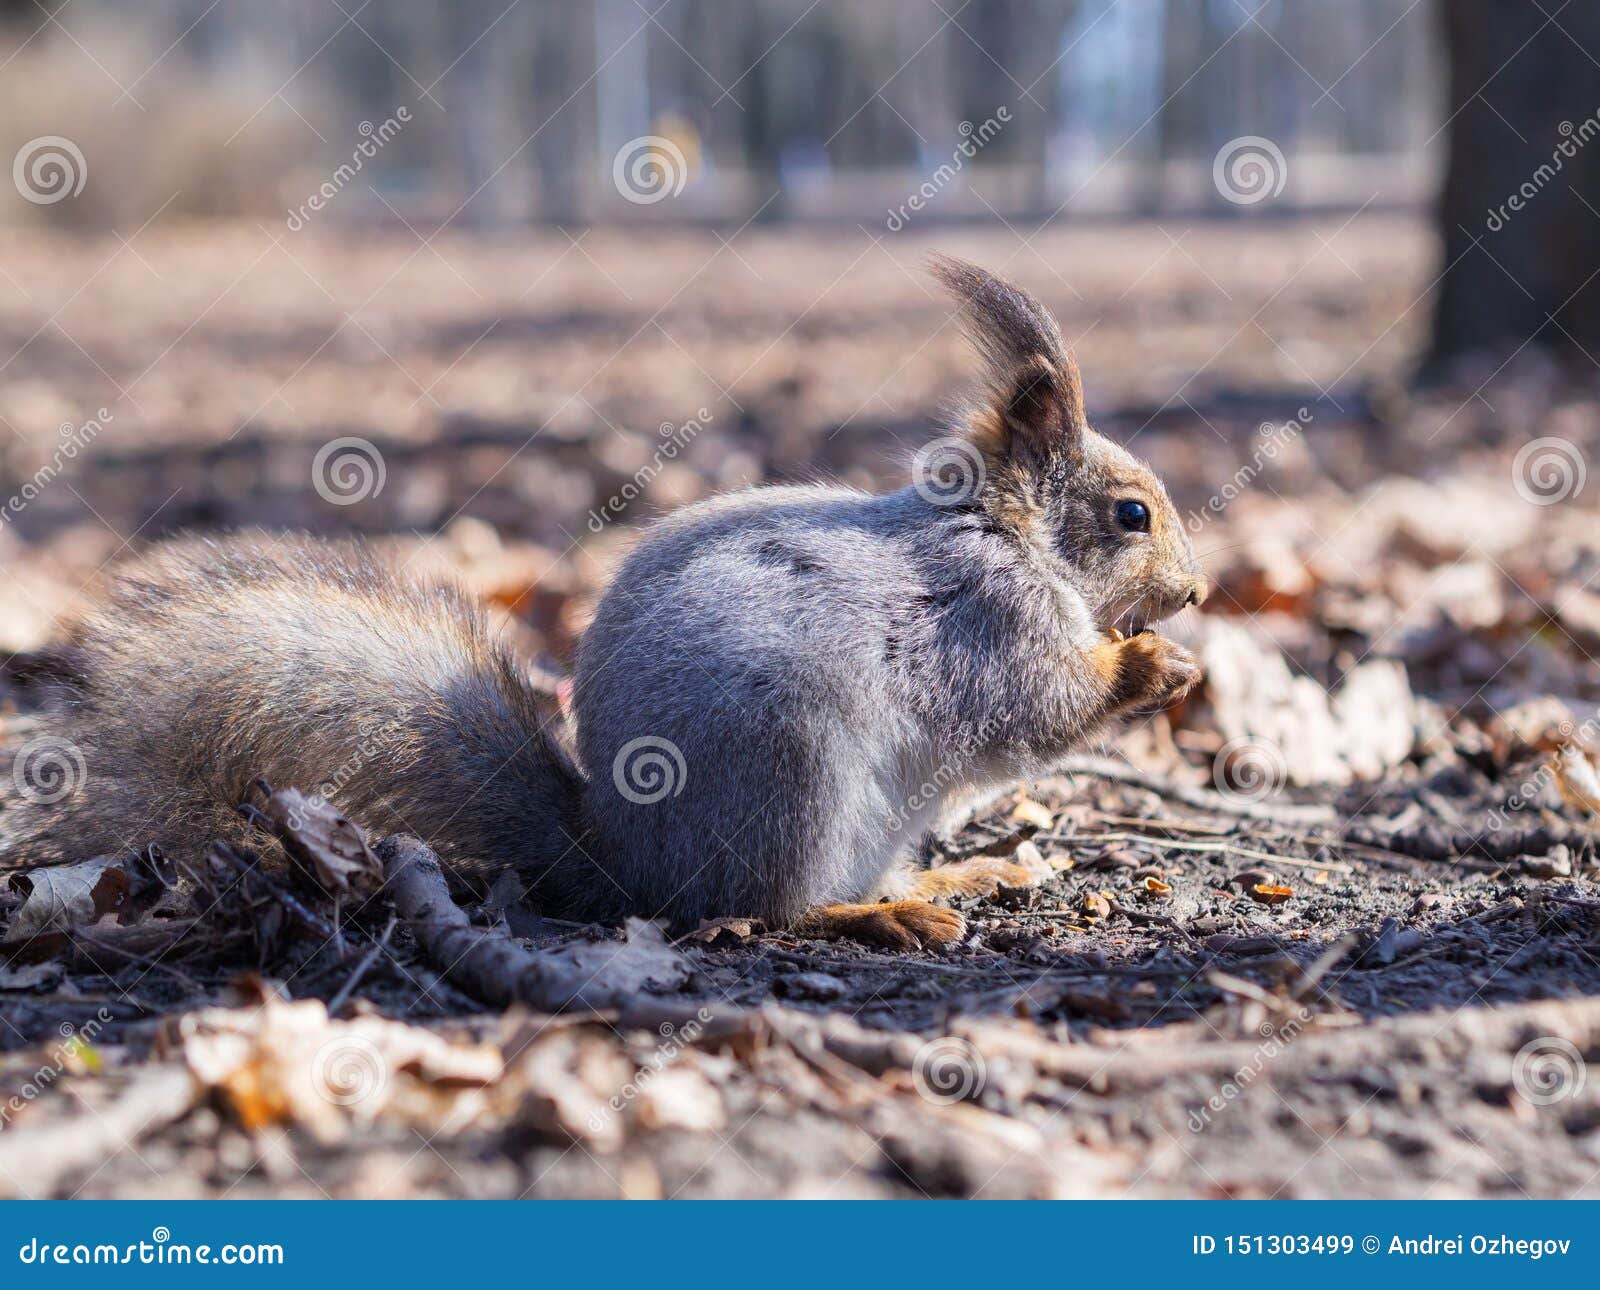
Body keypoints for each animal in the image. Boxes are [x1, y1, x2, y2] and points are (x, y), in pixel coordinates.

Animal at [0, 257, 1205, 951]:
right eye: (1131, 514)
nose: (1195, 591)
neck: (1004, 536)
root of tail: (615, 862)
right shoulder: (990, 623)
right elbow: (1038, 709)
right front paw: (1152, 669)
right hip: (792, 780)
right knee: (755, 909)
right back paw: (882, 909)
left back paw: (969, 866)